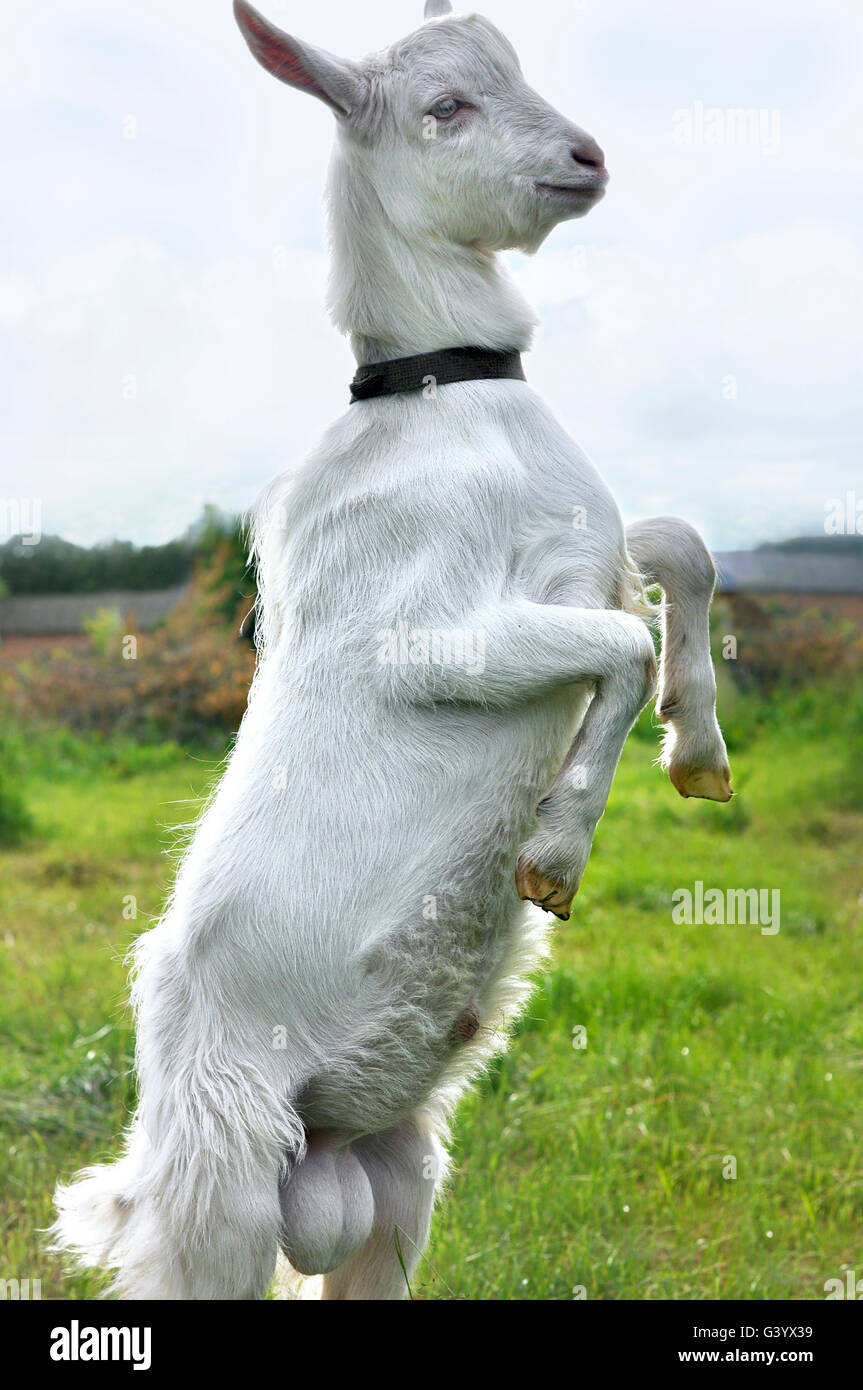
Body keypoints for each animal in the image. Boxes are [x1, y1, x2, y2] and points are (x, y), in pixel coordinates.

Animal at [51, 0, 732, 1300]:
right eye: (444, 106)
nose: (586, 158)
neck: (442, 393)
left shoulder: (586, 554)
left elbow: (677, 550)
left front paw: (699, 748)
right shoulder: (441, 644)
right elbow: (619, 642)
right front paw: (554, 853)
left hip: (396, 1182)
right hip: (218, 1196)